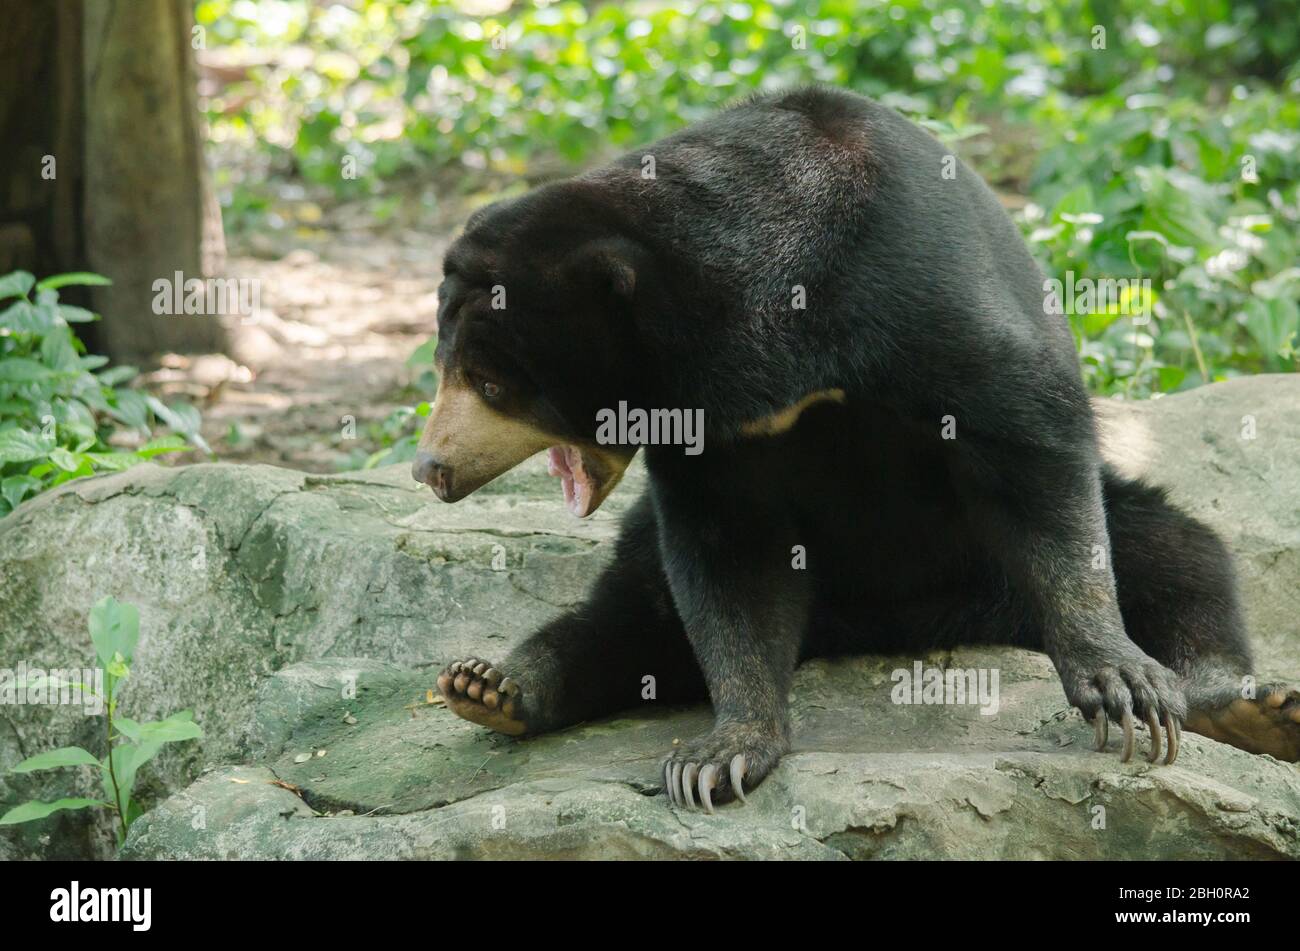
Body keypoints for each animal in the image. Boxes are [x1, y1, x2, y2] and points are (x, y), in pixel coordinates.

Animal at [412, 87, 1300, 812]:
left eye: (490, 380)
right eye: (443, 363)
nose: (430, 468)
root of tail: (891, 626)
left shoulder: (918, 293)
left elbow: (1031, 445)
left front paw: (1122, 688)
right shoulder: (717, 431)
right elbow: (724, 555)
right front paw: (717, 755)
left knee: (1178, 555)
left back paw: (1250, 705)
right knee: (629, 613)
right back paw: (491, 685)